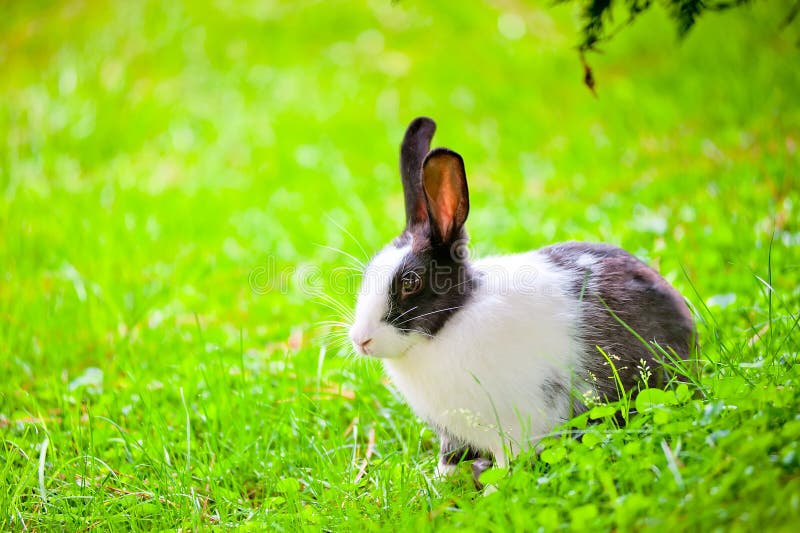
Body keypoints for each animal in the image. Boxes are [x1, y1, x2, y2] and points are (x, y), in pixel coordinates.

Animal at [348, 117, 695, 478]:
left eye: (411, 282)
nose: (360, 340)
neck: (450, 323)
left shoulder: (516, 425)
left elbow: (509, 461)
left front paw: (495, 485)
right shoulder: (453, 435)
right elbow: (449, 457)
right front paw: (442, 480)